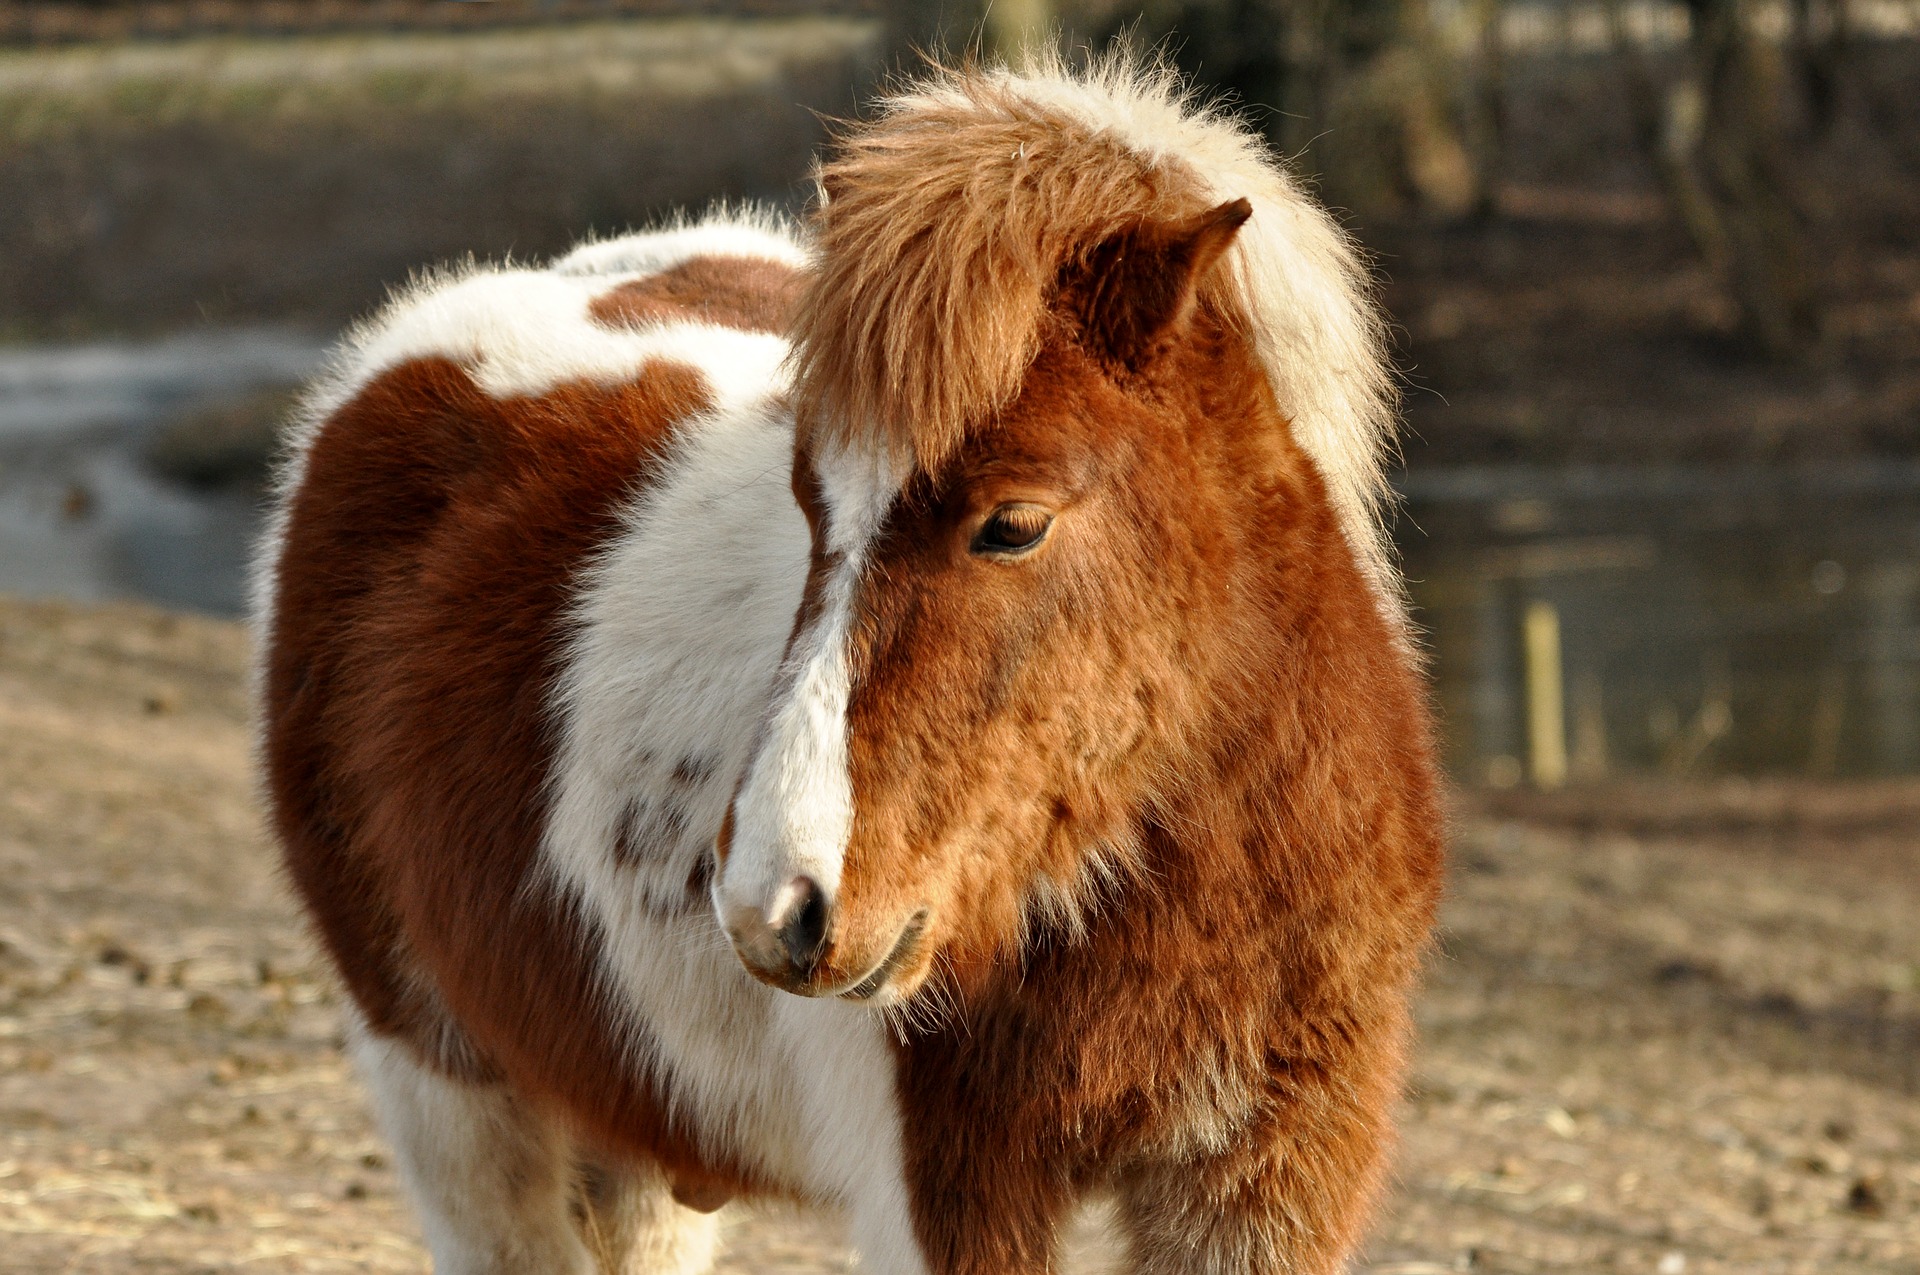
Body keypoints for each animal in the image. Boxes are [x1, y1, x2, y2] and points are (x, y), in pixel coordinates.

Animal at [256, 56, 1443, 1275]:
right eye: (809, 504)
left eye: (1014, 523)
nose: (774, 909)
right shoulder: (947, 1191)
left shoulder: (1264, 1177)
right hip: (447, 1090)